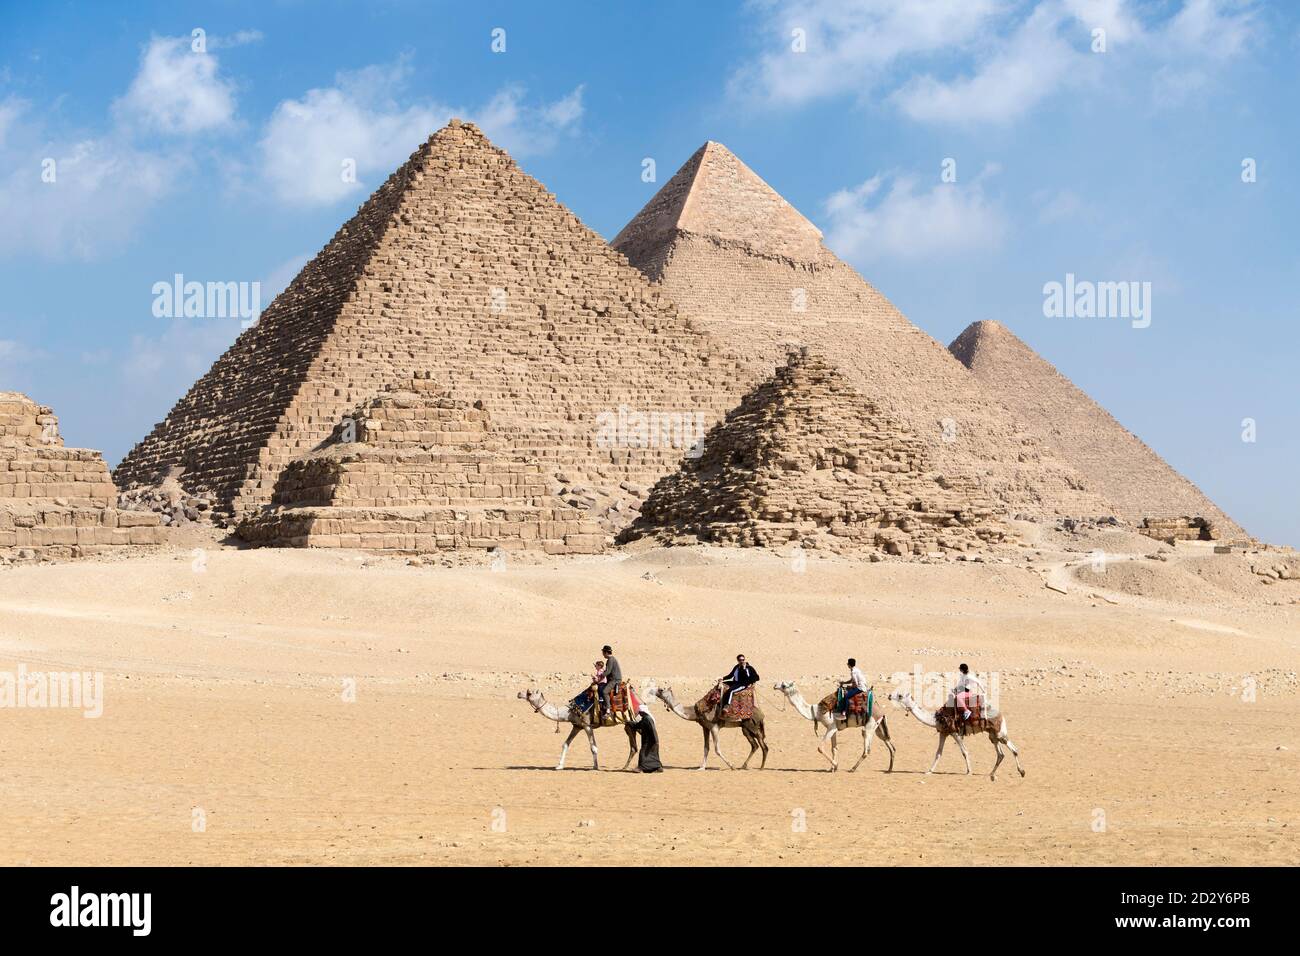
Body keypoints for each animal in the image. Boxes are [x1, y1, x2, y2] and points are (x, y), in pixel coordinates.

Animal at [889, 690, 1025, 781]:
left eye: (900, 695)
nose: (889, 695)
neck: (936, 718)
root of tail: (1001, 715)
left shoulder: (955, 732)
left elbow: (964, 751)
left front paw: (969, 772)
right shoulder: (944, 732)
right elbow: (938, 753)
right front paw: (929, 771)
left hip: (999, 732)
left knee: (1013, 749)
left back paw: (1022, 771)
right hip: (992, 734)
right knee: (1000, 754)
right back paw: (991, 774)